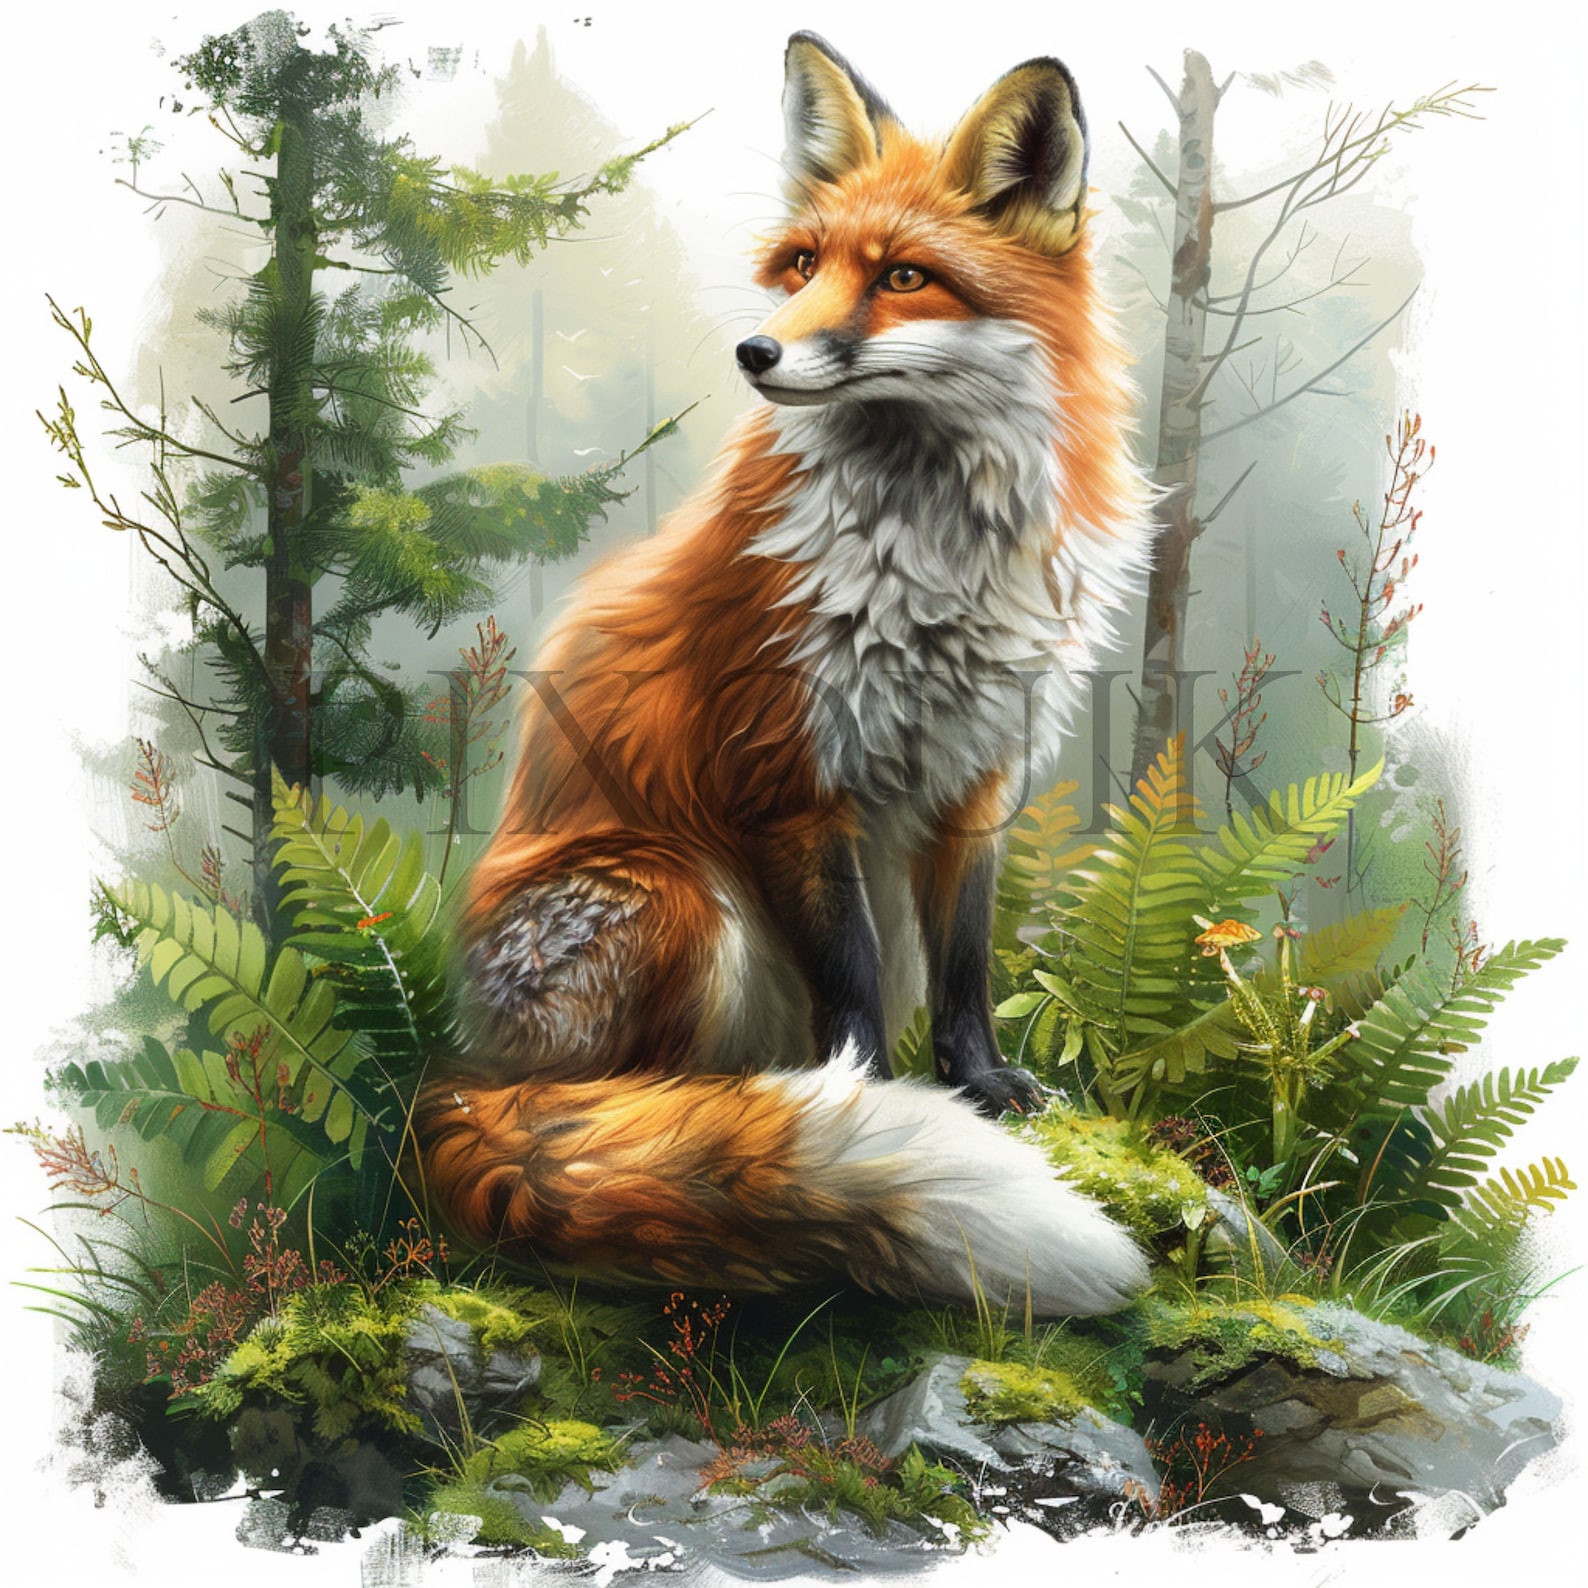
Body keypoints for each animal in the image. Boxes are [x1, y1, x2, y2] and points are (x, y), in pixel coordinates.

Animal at [416, 34, 1157, 1317]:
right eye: (802, 264)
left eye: (905, 276)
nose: (755, 351)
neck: (932, 557)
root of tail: (467, 1072)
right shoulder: (788, 780)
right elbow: (849, 982)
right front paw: (864, 1101)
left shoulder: (976, 778)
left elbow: (966, 965)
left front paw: (979, 1087)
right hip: (677, 896)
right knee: (618, 1101)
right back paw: (697, 1122)